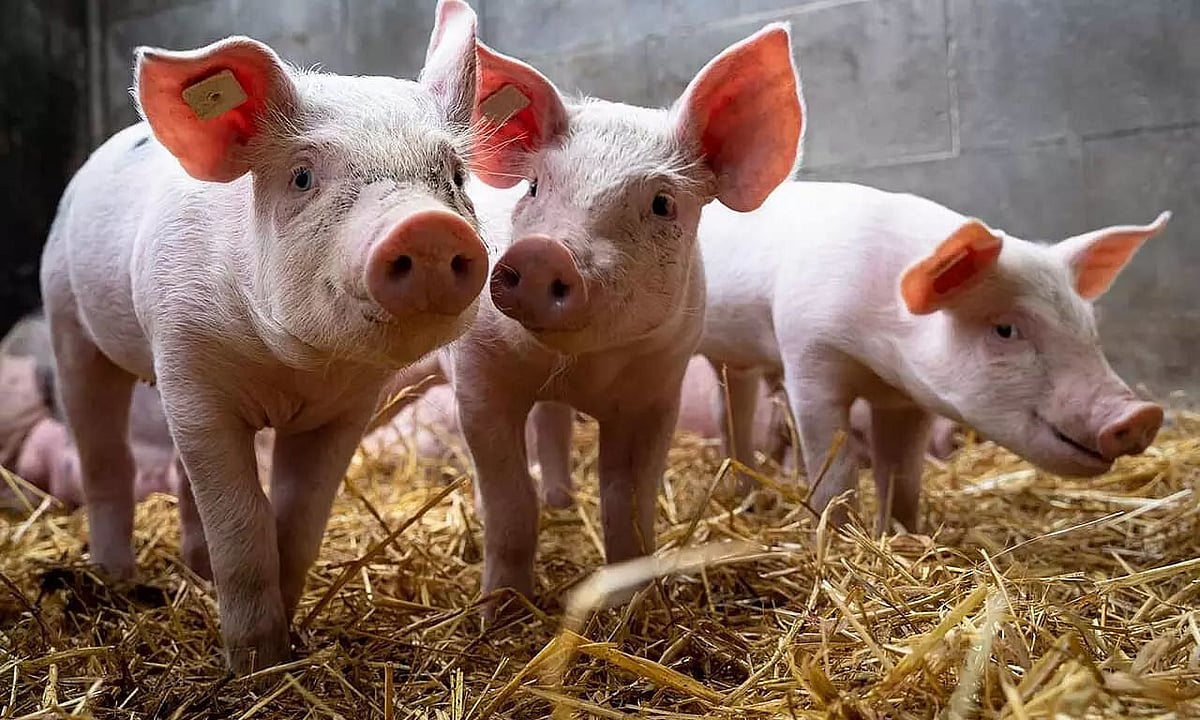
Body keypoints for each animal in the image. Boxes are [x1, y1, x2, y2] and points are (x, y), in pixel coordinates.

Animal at [38, 0, 489, 674]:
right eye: (302, 177)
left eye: (455, 177)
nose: (429, 227)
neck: (292, 366)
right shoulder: (193, 372)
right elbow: (243, 522)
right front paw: (255, 665)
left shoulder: (344, 409)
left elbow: (298, 522)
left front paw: (287, 650)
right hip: (69, 319)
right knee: (104, 456)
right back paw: (117, 576)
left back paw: (195, 569)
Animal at [439, 23, 805, 613]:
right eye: (535, 186)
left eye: (662, 203)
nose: (543, 253)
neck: (581, 367)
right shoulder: (479, 377)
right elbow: (510, 502)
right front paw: (499, 613)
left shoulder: (658, 389)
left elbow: (626, 500)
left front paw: (631, 603)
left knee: (555, 425)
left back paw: (564, 502)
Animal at [696, 180, 1168, 533]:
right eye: (1005, 329)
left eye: (1089, 324)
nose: (1142, 413)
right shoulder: (808, 357)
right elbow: (835, 472)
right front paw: (843, 538)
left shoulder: (906, 400)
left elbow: (903, 475)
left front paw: (903, 534)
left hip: (732, 359)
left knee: (730, 409)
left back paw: (747, 496)